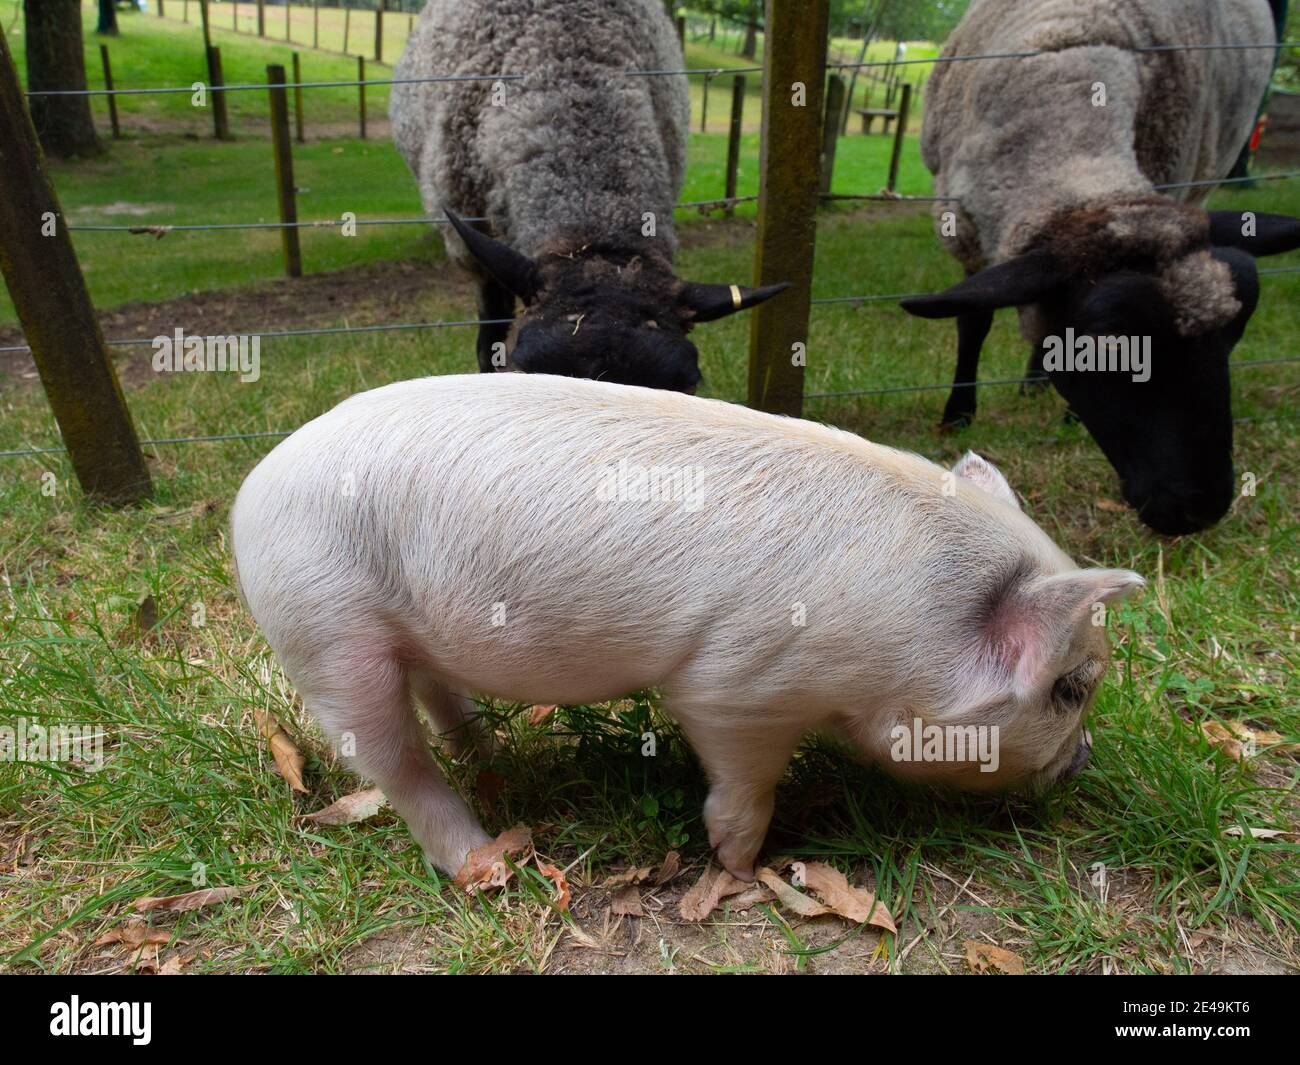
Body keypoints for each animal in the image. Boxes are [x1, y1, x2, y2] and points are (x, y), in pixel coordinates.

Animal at [230, 374, 1144, 880]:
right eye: (1071, 687)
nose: (1086, 761)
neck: (907, 628)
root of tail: (250, 492)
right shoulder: (739, 683)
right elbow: (743, 780)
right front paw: (746, 867)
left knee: (436, 694)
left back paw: (488, 752)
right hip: (327, 629)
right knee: (392, 761)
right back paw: (488, 865)